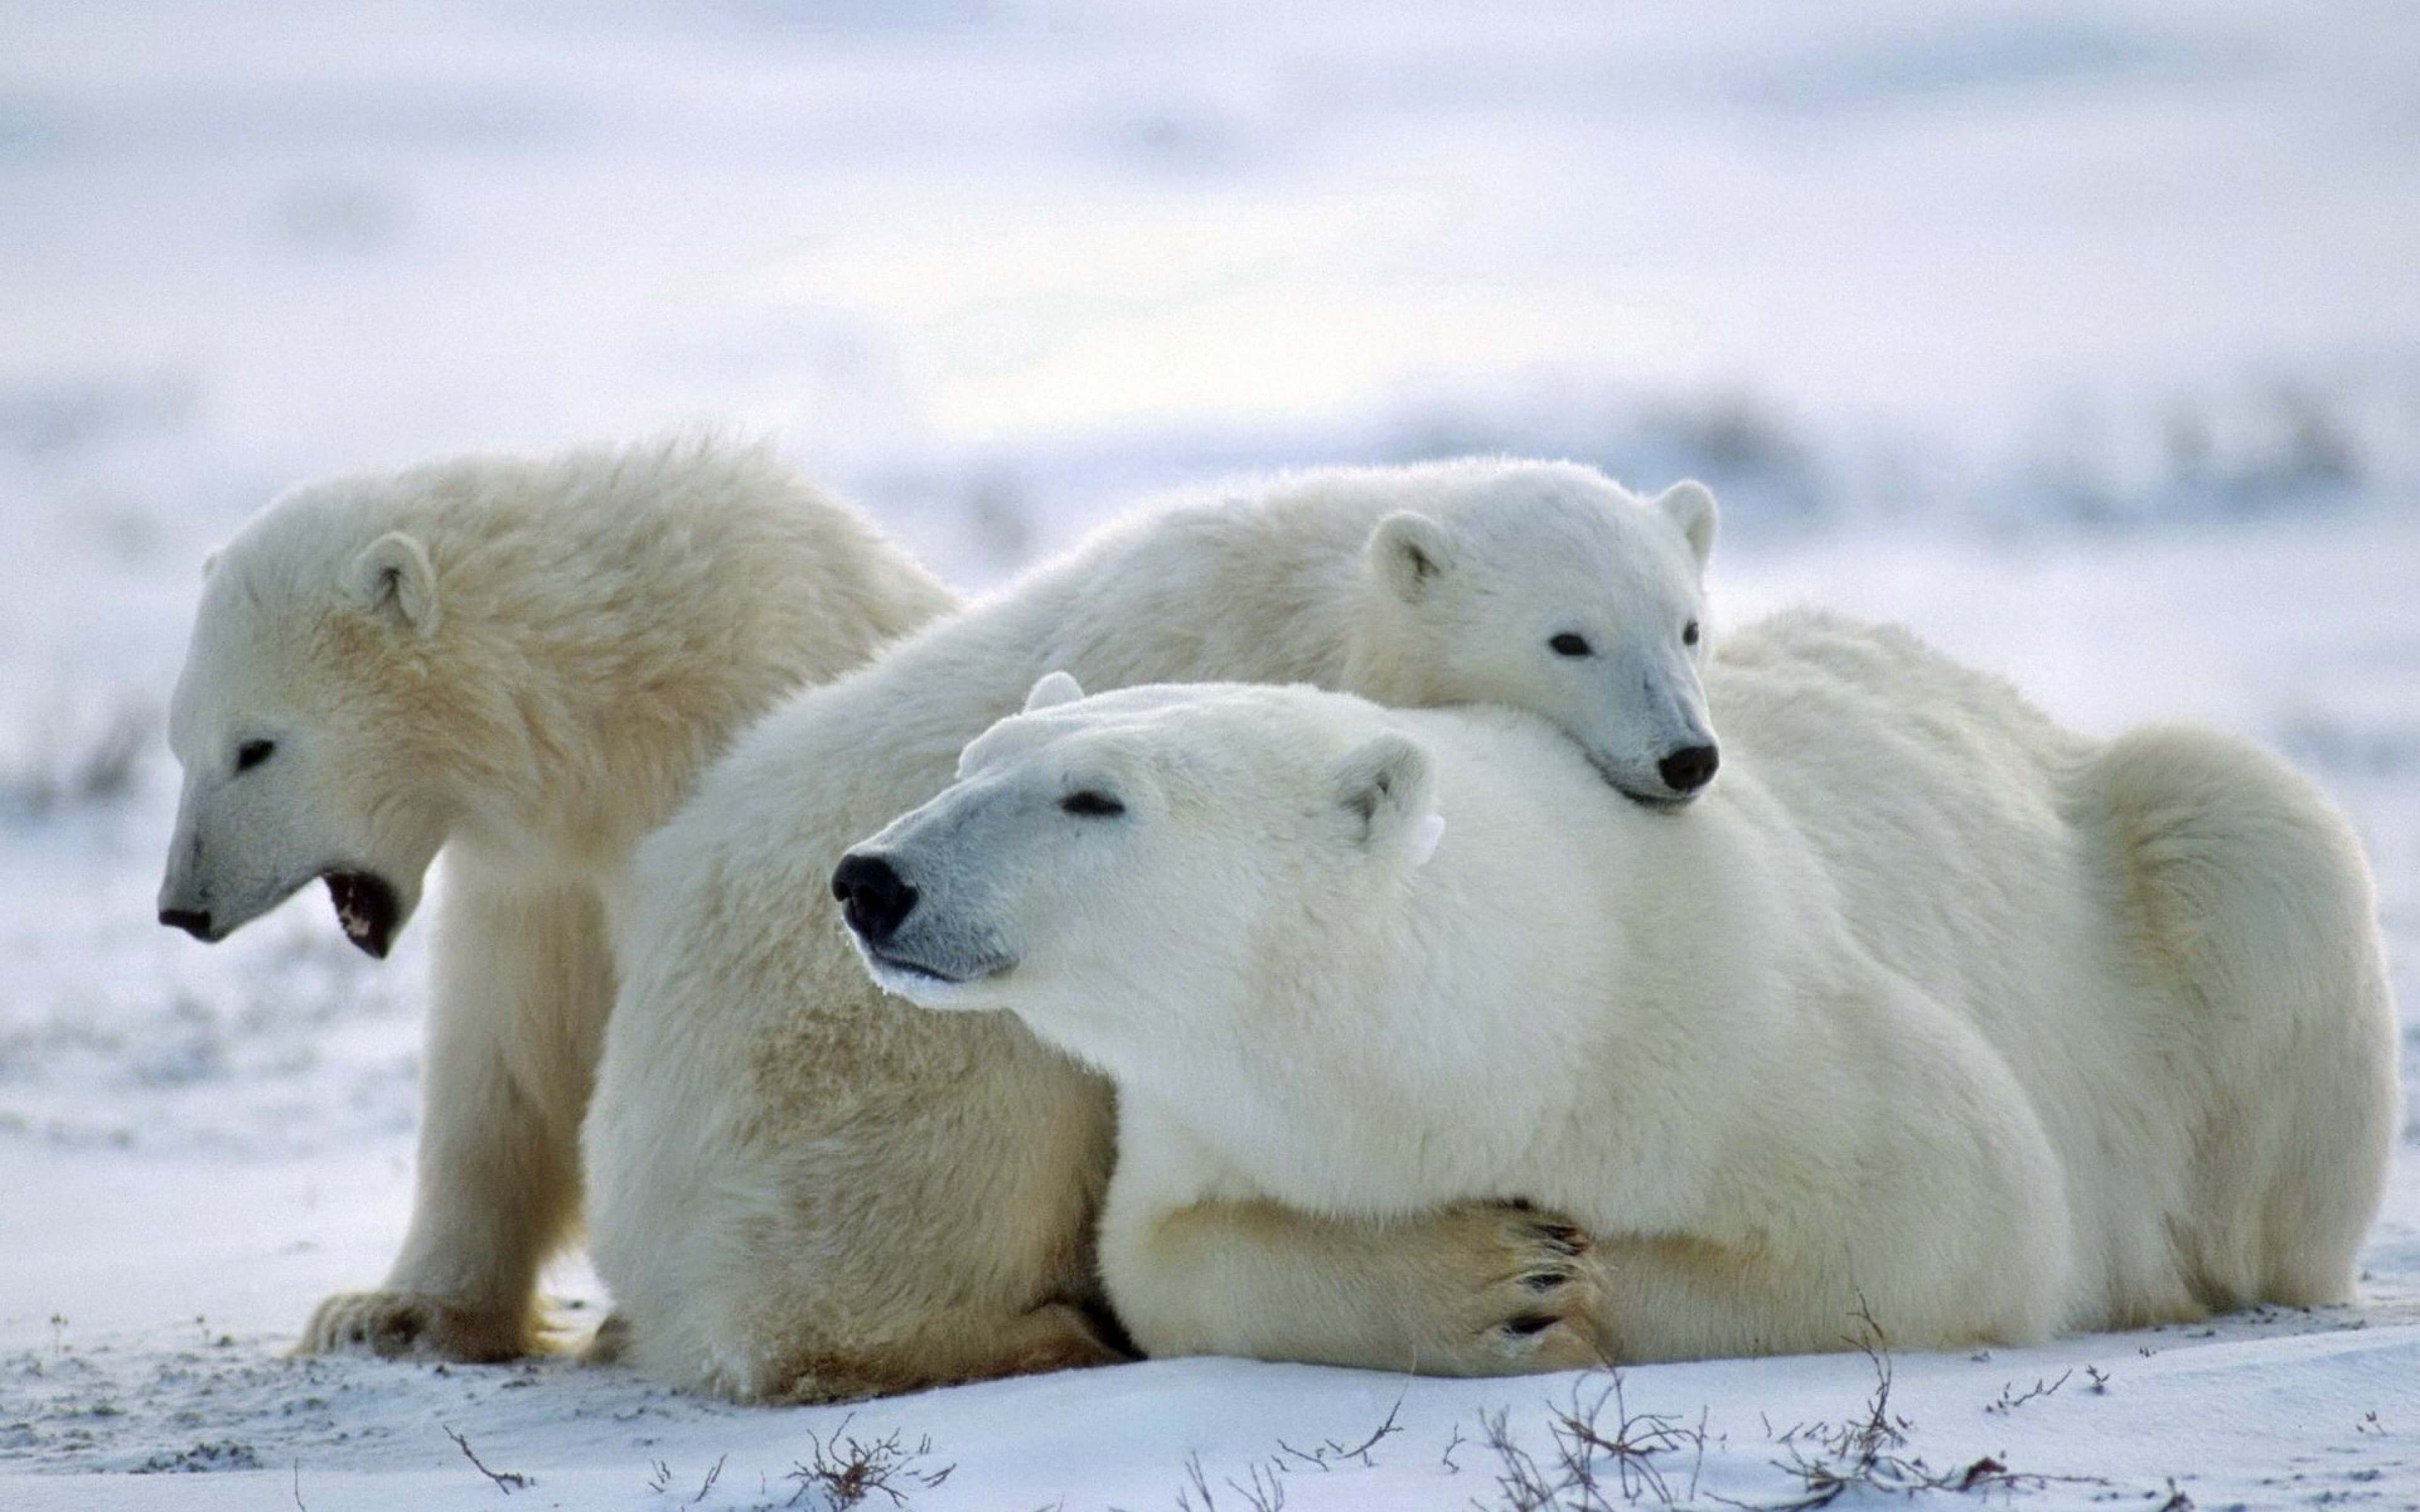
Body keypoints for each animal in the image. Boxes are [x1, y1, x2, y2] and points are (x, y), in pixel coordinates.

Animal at [156, 436, 955, 1362]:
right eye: (179, 744)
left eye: (256, 748)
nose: (182, 907)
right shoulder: (537, 884)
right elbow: (504, 1059)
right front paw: (388, 1311)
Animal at [583, 458, 1720, 1400]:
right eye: (1569, 637)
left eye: (1688, 625)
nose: (1688, 757)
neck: (1325, 601)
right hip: (843, 1065)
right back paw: (1033, 1337)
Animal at [840, 631, 2398, 1370]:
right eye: (975, 757)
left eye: (1094, 799)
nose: (871, 879)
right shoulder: (1204, 1123)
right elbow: (1168, 1264)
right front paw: (1496, 1282)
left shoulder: (1738, 1023)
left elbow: (1959, 1211)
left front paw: (1576, 1286)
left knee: (2249, 829)